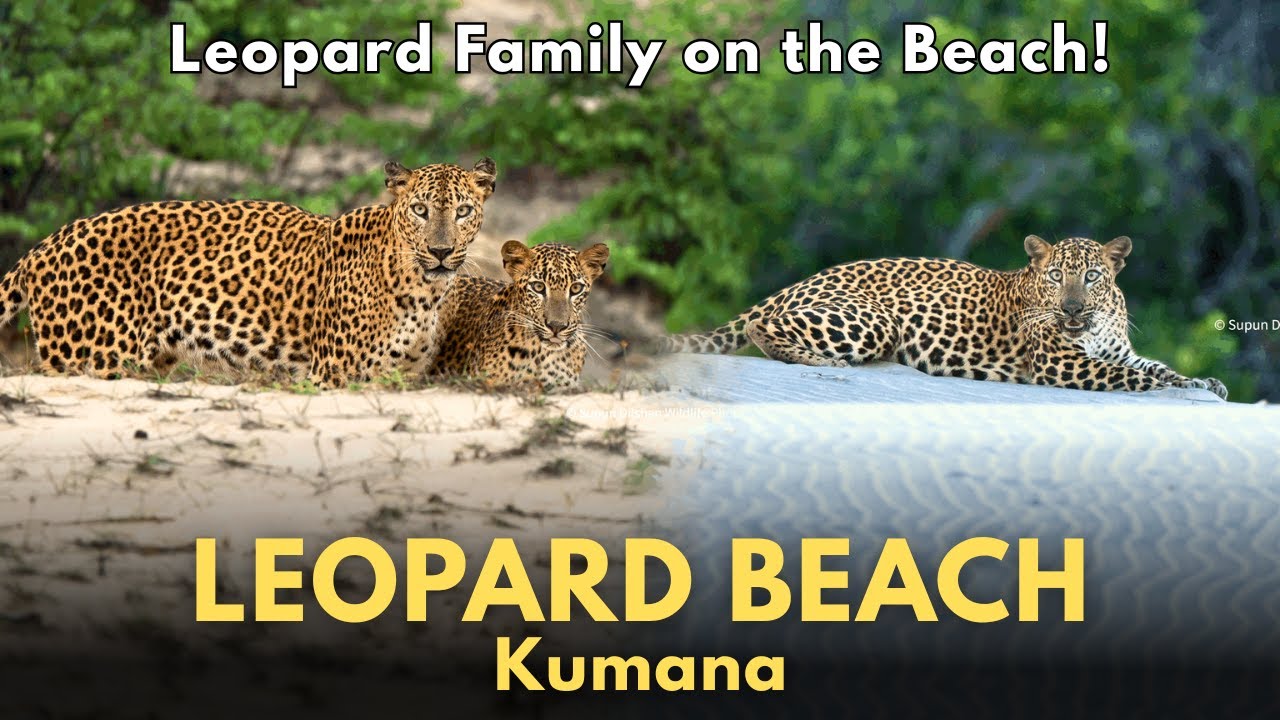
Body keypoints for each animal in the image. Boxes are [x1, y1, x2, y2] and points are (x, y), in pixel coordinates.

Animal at [0, 158, 497, 387]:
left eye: (464, 211)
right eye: (419, 210)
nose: (440, 251)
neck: (423, 294)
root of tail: (43, 245)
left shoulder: (401, 377)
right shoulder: (332, 376)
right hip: (94, 359)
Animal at [663, 235, 1228, 400]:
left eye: (1091, 276)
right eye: (1055, 277)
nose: (1071, 309)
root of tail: (796, 283)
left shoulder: (1119, 348)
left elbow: (1153, 366)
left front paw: (1204, 382)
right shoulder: (1061, 364)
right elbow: (1131, 377)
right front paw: (1178, 388)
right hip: (876, 319)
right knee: (758, 327)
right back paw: (820, 362)